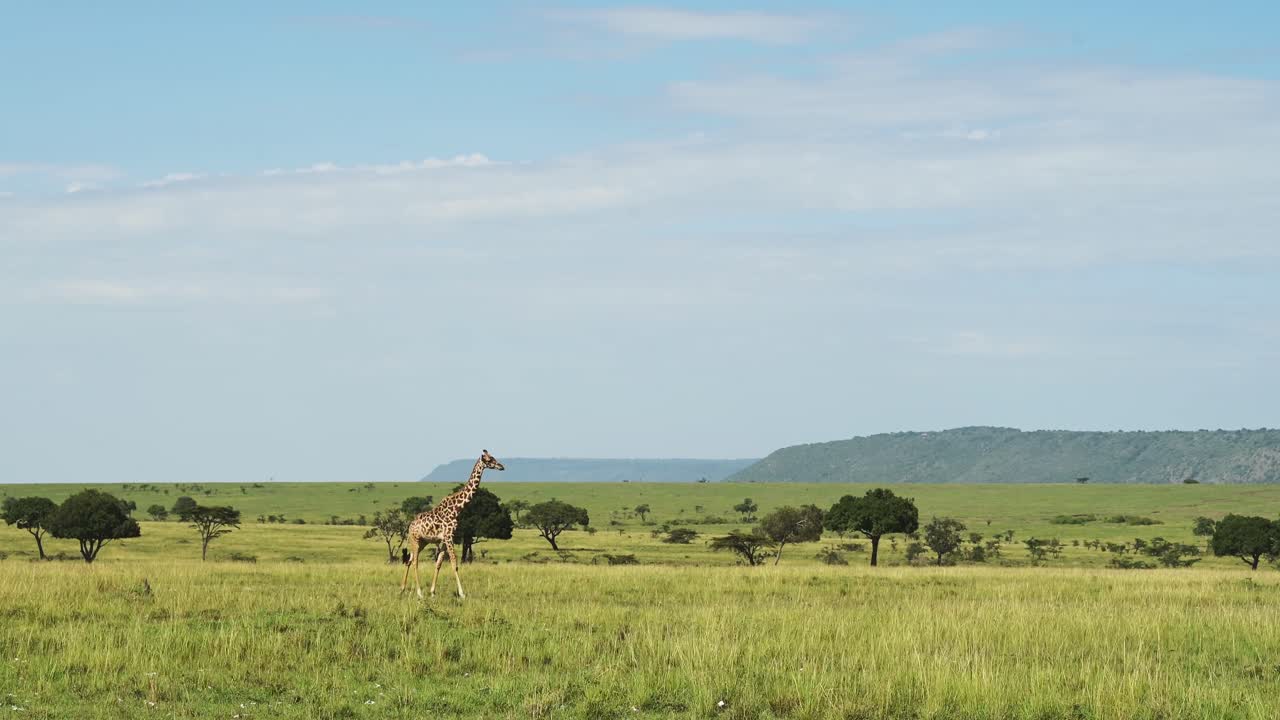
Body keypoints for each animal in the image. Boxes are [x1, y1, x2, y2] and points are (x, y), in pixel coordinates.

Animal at [401, 449, 504, 598]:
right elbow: (454, 563)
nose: (502, 466)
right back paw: (419, 593)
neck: (457, 509)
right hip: (415, 539)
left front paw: (432, 592)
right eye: (489, 459)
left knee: (409, 560)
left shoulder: (445, 539)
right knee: (414, 562)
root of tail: (410, 526)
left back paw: (402, 588)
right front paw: (462, 593)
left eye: (493, 457)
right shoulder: (449, 536)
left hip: (423, 542)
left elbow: (438, 564)